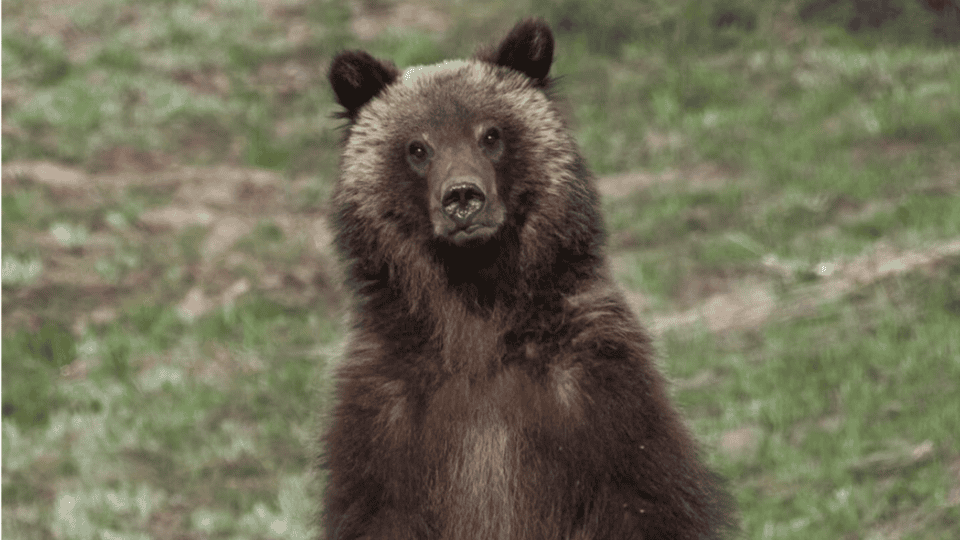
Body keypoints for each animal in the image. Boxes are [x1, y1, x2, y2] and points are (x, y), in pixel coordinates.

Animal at [322, 18, 736, 540]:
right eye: (418, 146)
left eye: (491, 134)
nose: (463, 197)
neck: (476, 310)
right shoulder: (386, 409)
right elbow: (376, 506)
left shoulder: (595, 391)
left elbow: (645, 496)